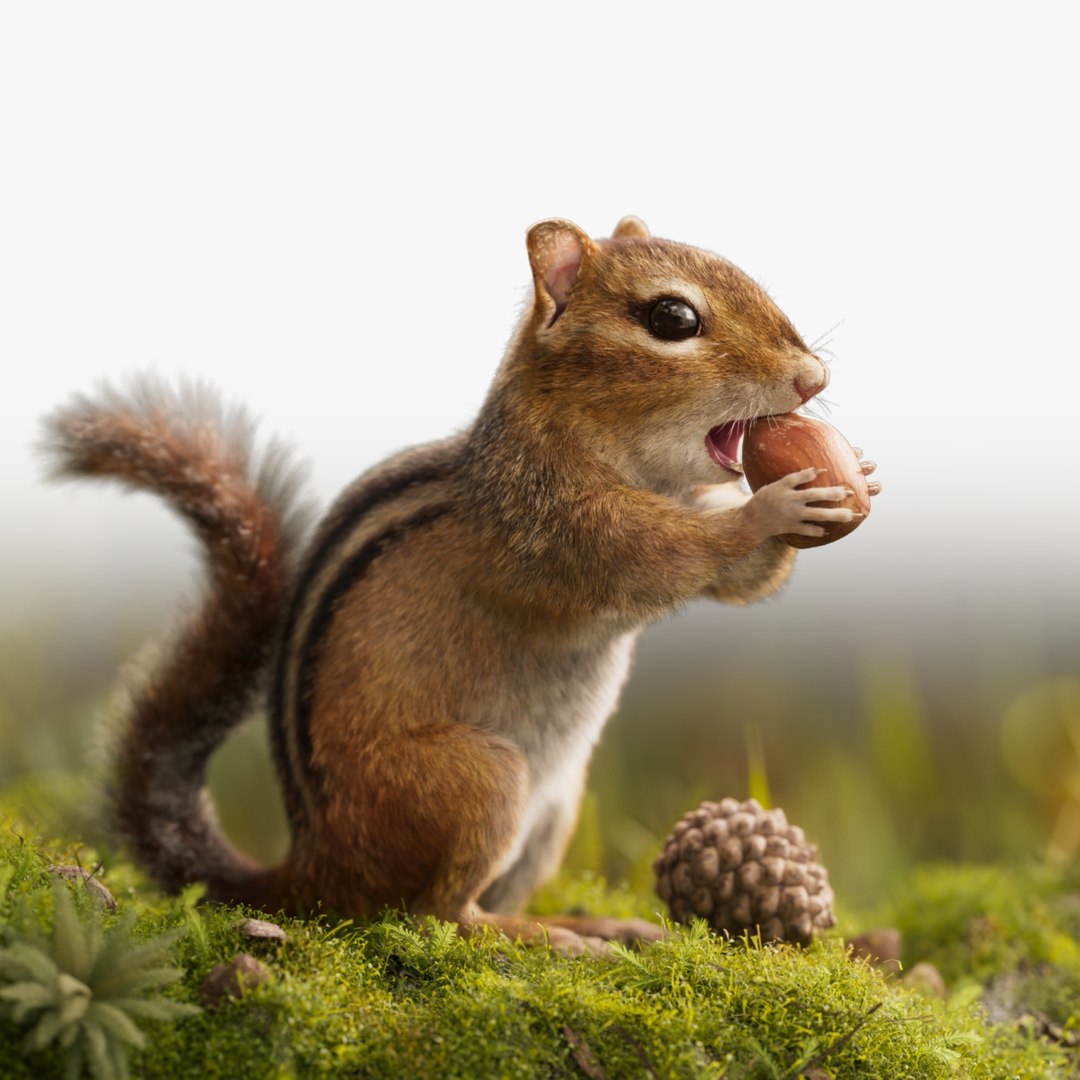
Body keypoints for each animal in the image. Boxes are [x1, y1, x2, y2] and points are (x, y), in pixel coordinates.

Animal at [43, 216, 878, 952]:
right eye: (672, 318)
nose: (816, 378)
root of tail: (313, 872)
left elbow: (736, 583)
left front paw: (854, 480)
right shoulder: (557, 524)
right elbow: (662, 554)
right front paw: (773, 506)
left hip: (555, 806)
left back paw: (595, 925)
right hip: (480, 779)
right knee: (436, 917)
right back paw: (544, 939)